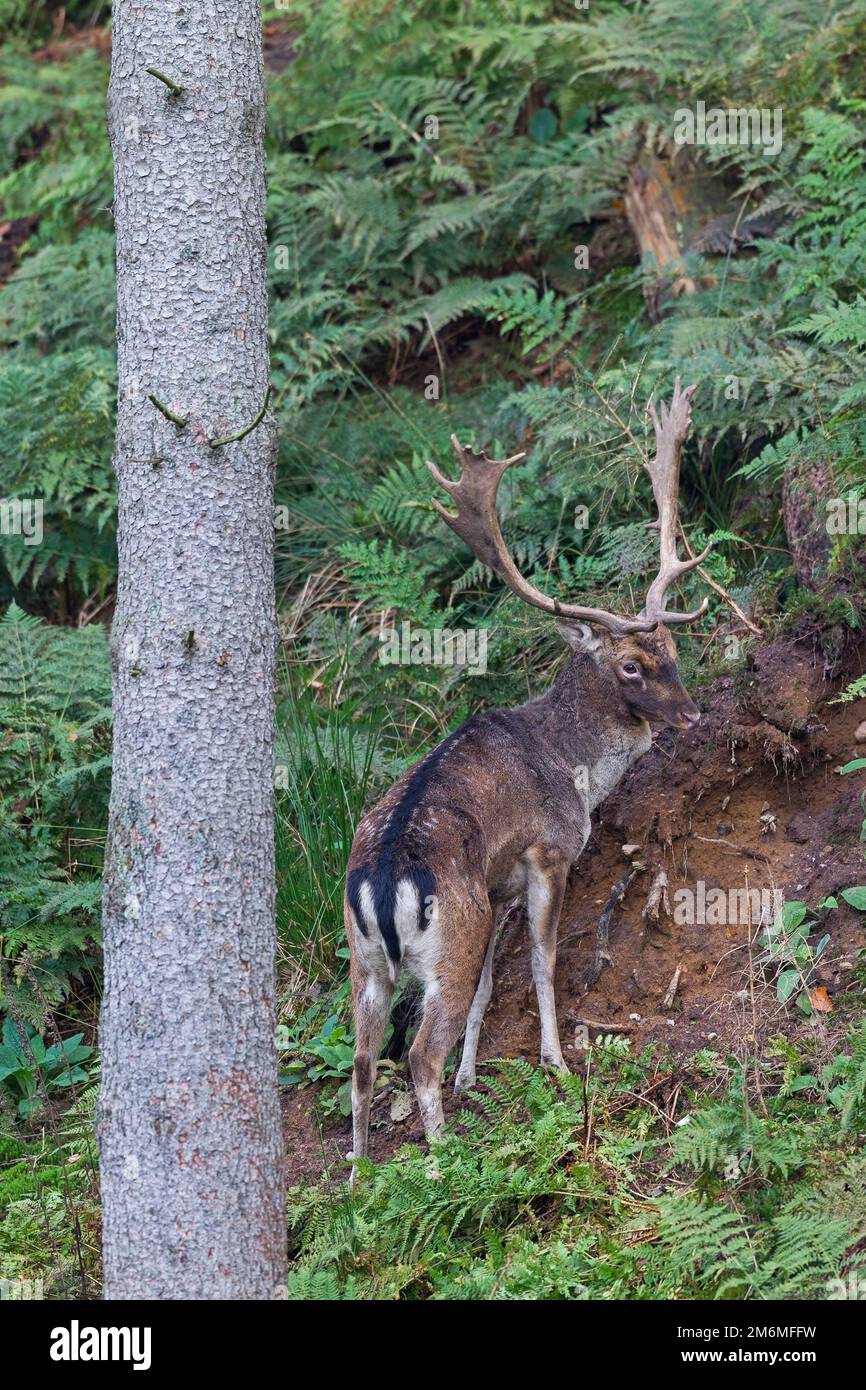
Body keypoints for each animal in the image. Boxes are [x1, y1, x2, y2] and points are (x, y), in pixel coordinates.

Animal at [344, 379, 711, 1169]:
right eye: (630, 666)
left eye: (671, 651)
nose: (693, 714)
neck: (575, 768)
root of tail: (382, 880)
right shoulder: (547, 853)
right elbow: (542, 964)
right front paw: (555, 1061)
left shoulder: (496, 889)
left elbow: (490, 987)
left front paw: (476, 1073)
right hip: (445, 936)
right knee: (415, 1053)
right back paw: (444, 1160)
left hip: (367, 957)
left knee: (361, 1063)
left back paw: (358, 1173)